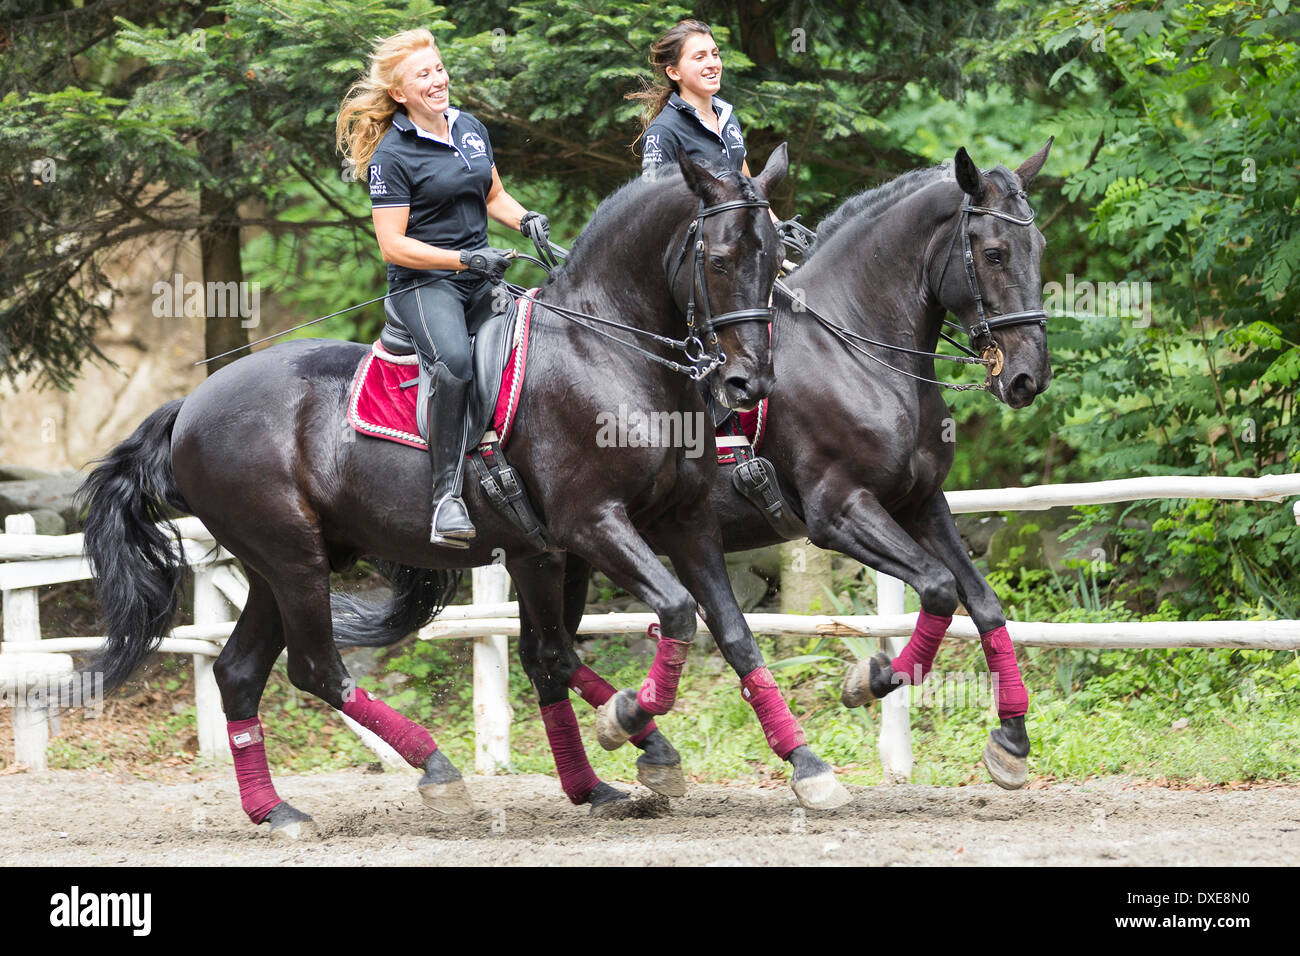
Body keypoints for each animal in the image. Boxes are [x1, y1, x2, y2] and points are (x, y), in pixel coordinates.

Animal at [75, 146, 801, 838]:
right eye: (719, 259)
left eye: (774, 258)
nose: (749, 384)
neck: (606, 349)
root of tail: (190, 406)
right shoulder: (590, 525)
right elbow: (668, 614)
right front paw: (628, 723)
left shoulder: (672, 524)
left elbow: (724, 633)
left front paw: (800, 766)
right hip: (292, 557)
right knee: (314, 668)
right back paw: (435, 769)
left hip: (282, 563)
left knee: (239, 672)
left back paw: (277, 812)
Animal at [499, 140, 1057, 801]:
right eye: (994, 252)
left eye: (1038, 246)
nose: (1028, 377)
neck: (858, 348)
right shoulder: (840, 510)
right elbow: (941, 588)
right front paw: (867, 681)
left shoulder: (921, 504)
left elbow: (984, 603)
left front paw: (1011, 742)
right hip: (565, 548)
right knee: (549, 653)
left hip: (568, 552)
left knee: (547, 655)